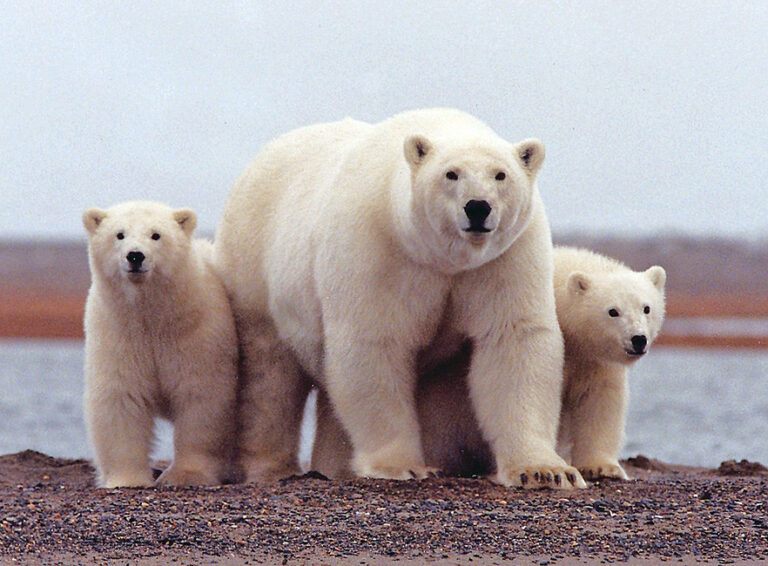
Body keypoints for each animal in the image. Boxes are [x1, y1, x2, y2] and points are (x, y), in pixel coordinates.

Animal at [82, 201, 238, 488]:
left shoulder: (197, 334)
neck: (153, 317)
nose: (135, 256)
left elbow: (201, 398)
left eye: (156, 235)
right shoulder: (118, 334)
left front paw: (186, 475)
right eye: (119, 234)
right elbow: (121, 398)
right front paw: (127, 479)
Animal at [215, 108, 585, 489]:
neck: (441, 258)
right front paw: (402, 465)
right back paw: (271, 467)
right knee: (269, 375)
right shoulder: (378, 249)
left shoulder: (504, 257)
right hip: (255, 266)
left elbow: (513, 340)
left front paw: (545, 471)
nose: (478, 208)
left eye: (501, 174)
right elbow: (374, 343)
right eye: (451, 174)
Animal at [312, 246, 666, 483]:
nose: (638, 339)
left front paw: (602, 467)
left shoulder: (593, 360)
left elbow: (600, 401)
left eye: (646, 308)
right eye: (612, 311)